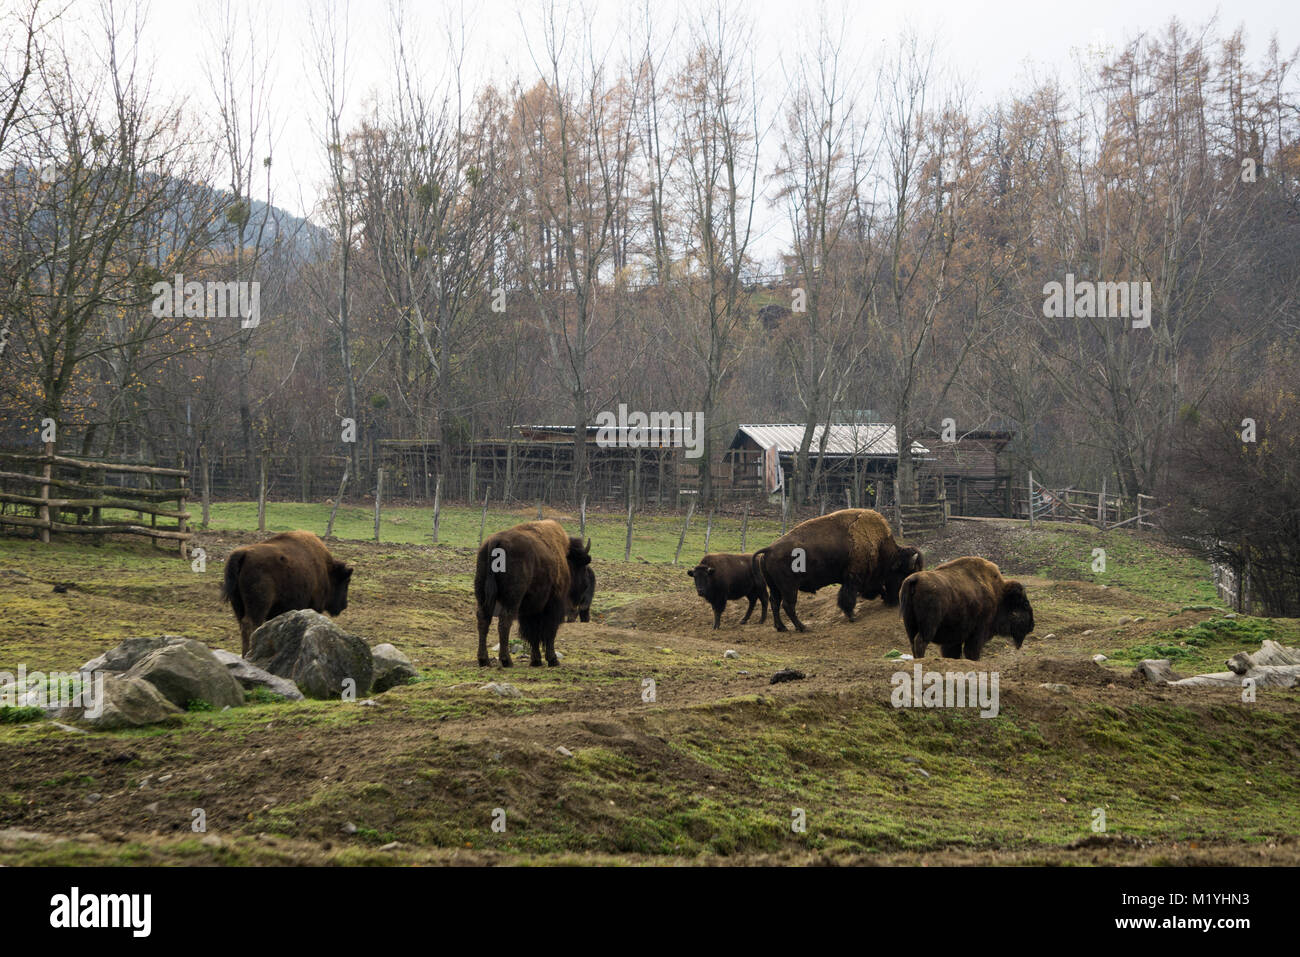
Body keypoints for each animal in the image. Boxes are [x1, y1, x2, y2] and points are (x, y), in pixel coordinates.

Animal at [222, 530, 354, 657]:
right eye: (346, 581)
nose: (344, 605)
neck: (327, 569)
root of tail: (244, 554)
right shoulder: (313, 606)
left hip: (238, 605)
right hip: (259, 605)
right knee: (251, 625)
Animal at [475, 520, 591, 667]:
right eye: (582, 565)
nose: (585, 585)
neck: (564, 554)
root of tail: (495, 541)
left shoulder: (531, 609)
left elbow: (533, 633)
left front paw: (536, 660)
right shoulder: (553, 604)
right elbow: (549, 631)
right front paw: (553, 660)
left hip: (482, 595)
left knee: (483, 620)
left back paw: (484, 660)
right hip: (512, 598)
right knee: (504, 622)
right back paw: (507, 661)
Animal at [752, 508, 923, 632]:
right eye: (905, 575)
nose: (895, 603)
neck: (879, 546)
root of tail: (769, 549)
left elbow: (875, 589)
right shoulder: (854, 578)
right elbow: (848, 597)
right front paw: (852, 617)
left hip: (775, 587)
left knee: (775, 602)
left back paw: (782, 627)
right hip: (789, 587)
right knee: (788, 605)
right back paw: (803, 627)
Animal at [900, 556, 1035, 660]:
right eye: (1025, 604)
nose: (1032, 626)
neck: (999, 594)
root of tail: (914, 579)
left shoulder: (954, 639)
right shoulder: (978, 632)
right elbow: (971, 652)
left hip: (910, 625)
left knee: (913, 642)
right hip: (929, 626)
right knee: (920, 642)